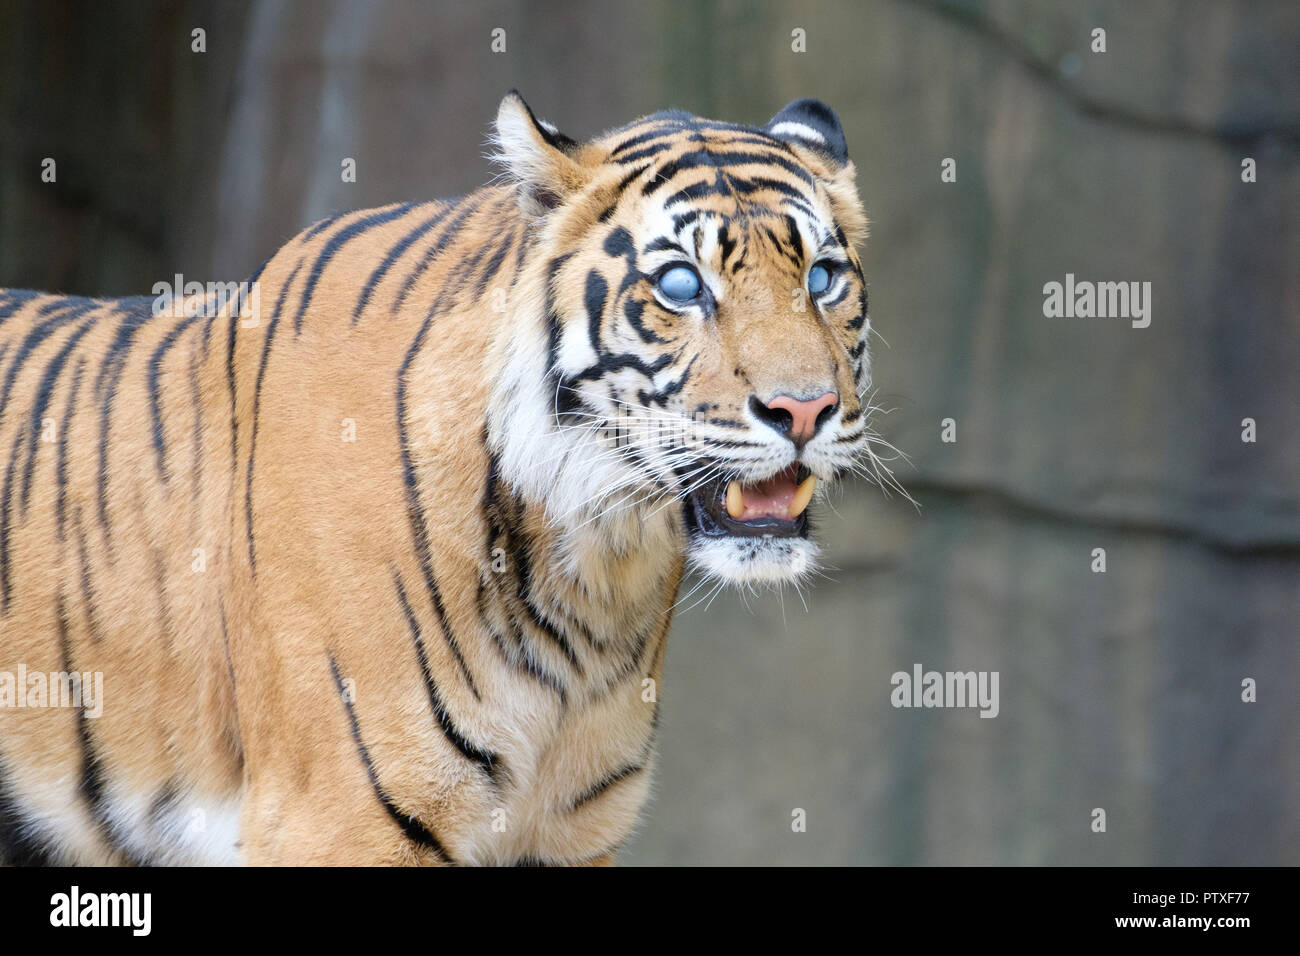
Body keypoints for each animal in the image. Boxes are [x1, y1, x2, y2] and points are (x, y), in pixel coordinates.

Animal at [0, 92, 878, 866]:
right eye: (683, 286)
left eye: (822, 278)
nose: (805, 410)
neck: (591, 574)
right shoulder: (340, 820)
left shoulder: (573, 831)